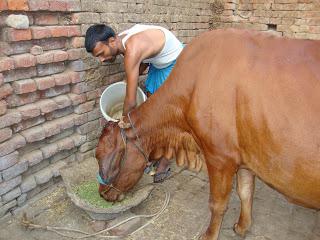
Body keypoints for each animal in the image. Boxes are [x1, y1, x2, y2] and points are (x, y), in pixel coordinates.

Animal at [95, 29, 320, 239]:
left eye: (105, 157)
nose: (101, 193)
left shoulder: (220, 157)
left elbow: (217, 203)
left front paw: (209, 235)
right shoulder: (245, 157)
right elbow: (245, 192)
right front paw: (241, 227)